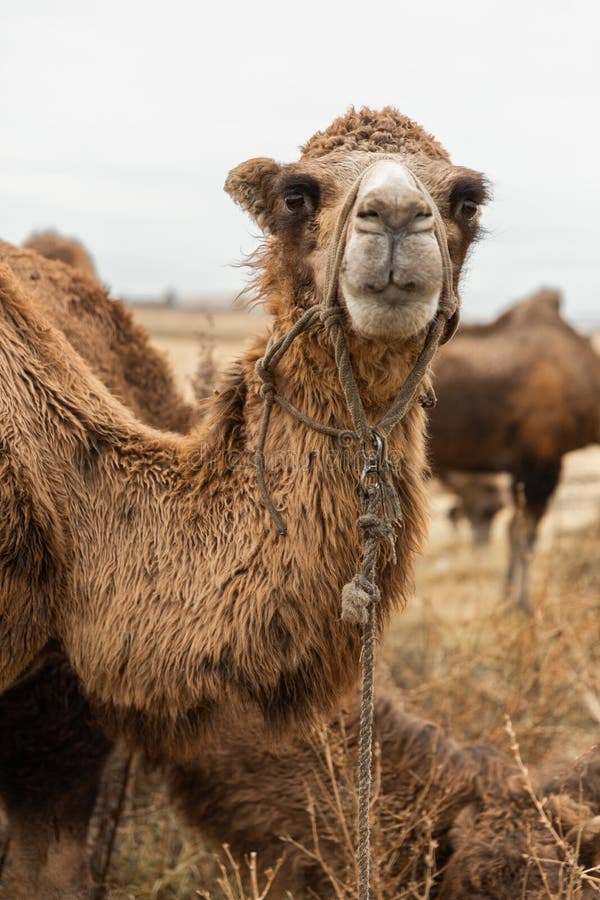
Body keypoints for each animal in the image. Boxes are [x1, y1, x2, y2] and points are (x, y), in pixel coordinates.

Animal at [429, 289, 600, 610]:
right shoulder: (541, 462)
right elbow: (525, 535)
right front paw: (523, 605)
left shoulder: (521, 467)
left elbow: (513, 531)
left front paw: (508, 597)